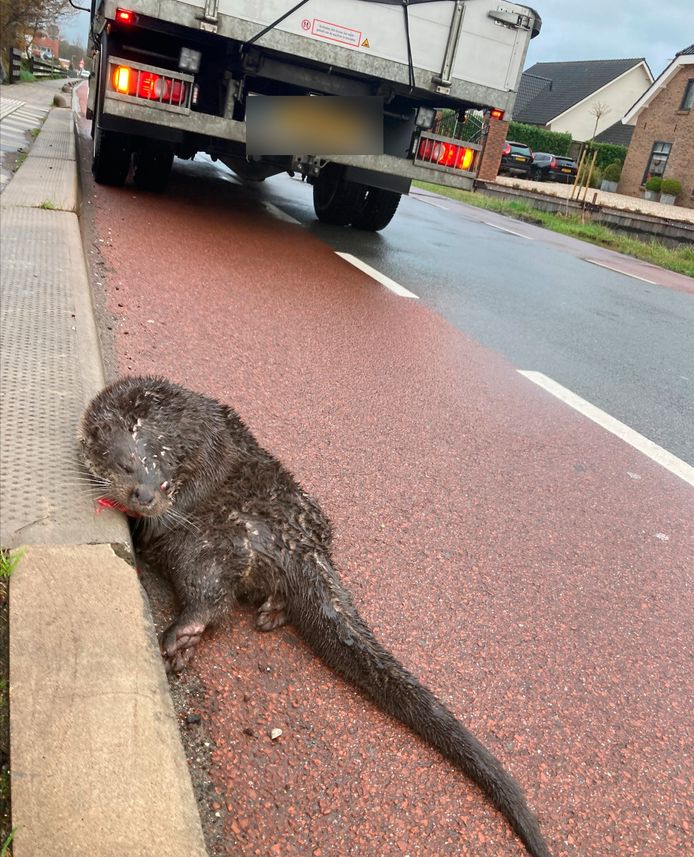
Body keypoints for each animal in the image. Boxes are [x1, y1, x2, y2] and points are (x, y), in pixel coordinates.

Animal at [79, 375, 552, 857]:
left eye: (166, 482)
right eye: (126, 465)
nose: (145, 496)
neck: (162, 414)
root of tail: (294, 538)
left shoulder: (209, 435)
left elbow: (211, 467)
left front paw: (162, 514)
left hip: (203, 546)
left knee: (210, 594)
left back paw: (185, 633)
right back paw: (269, 612)